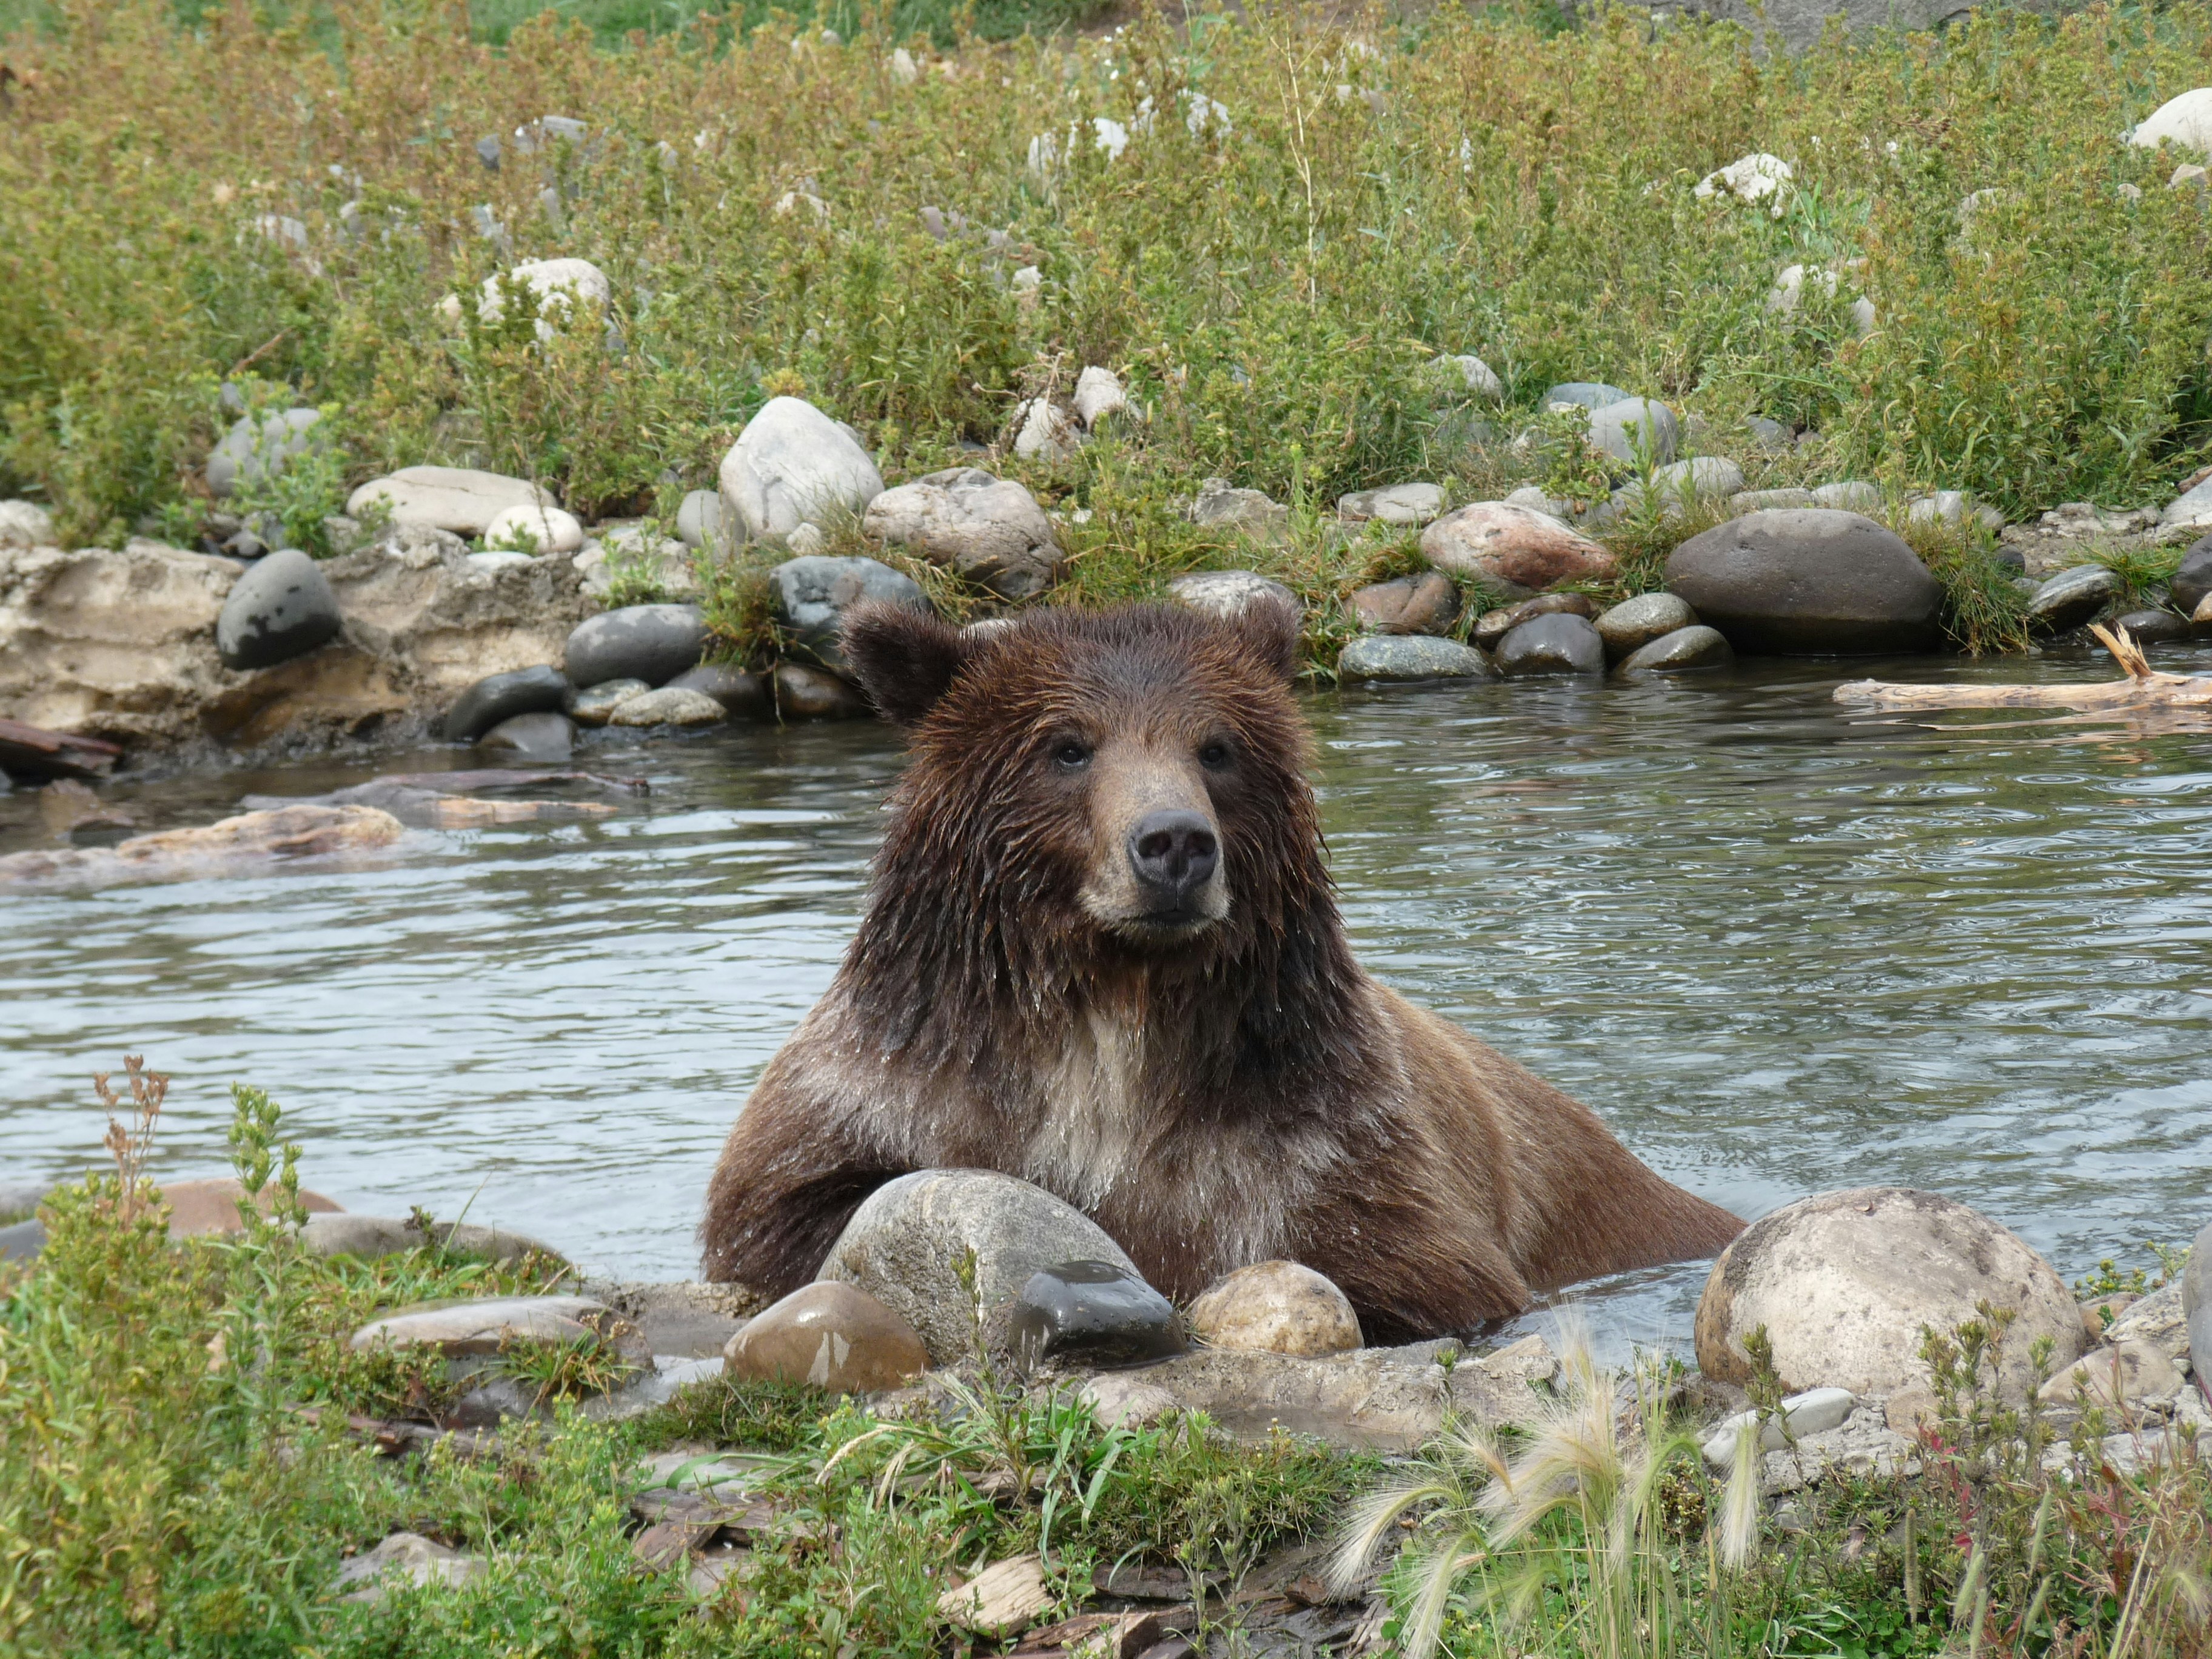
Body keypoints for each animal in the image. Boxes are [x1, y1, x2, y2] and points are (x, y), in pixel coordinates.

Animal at [701, 599, 1743, 1342]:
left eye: (1217, 747)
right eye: (1067, 746)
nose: (1174, 844)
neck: (1114, 1010)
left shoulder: (1320, 1139)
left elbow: (1394, 1269)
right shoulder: (897, 1084)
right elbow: (811, 1214)